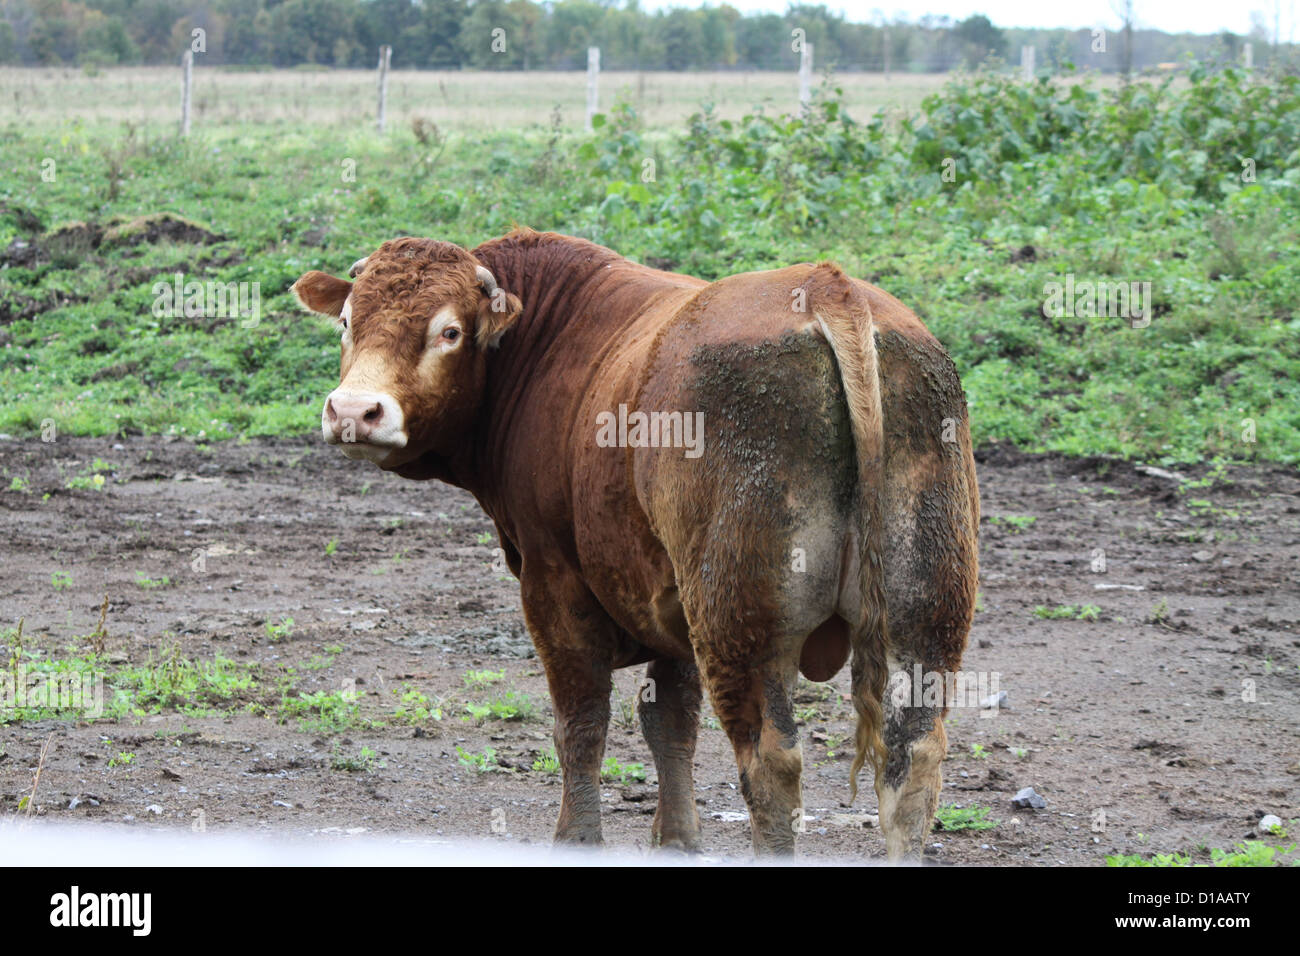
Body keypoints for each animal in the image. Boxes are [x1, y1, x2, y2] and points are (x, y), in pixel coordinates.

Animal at [292, 229, 980, 860]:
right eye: (348, 321)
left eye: (450, 332)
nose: (354, 410)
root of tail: (831, 289)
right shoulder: (667, 599)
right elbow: (669, 721)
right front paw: (676, 839)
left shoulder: (554, 580)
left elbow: (582, 721)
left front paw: (578, 837)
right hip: (921, 614)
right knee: (913, 760)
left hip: (739, 621)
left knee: (771, 762)